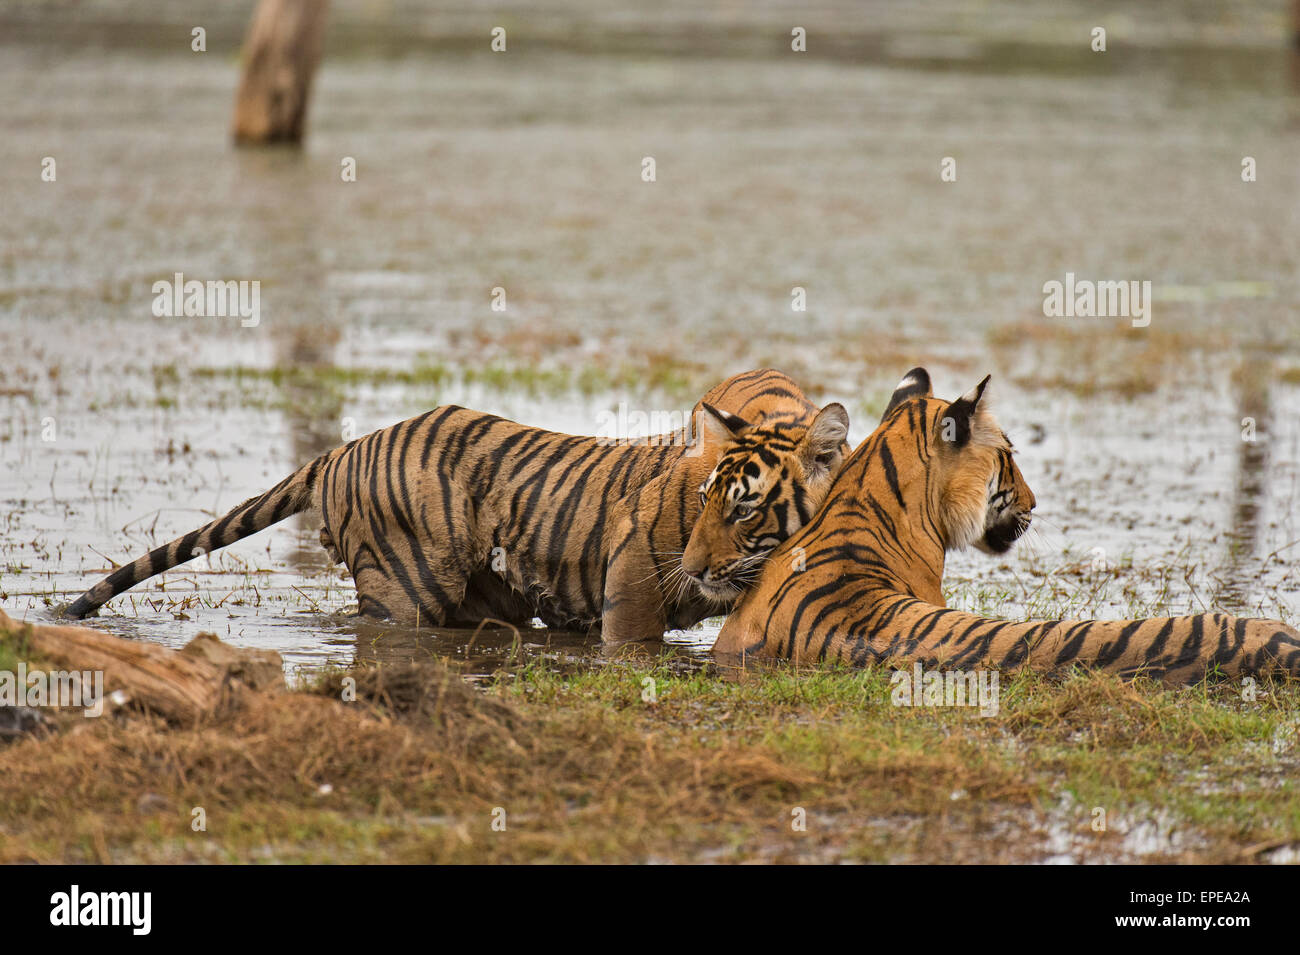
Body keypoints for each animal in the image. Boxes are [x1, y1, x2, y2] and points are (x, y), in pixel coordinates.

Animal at [64, 368, 850, 646]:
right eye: (711, 503)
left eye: (743, 512)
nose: (694, 567)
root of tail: (345, 448)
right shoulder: (631, 581)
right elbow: (633, 643)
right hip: (407, 587)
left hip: (484, 593)